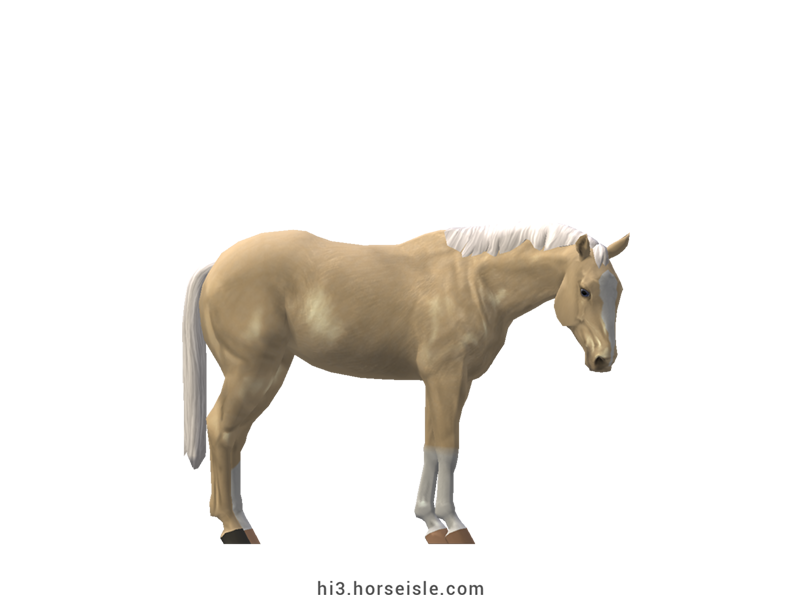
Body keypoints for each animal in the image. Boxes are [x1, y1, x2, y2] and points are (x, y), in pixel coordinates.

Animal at [182, 223, 627, 538]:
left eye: (615, 289)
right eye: (584, 290)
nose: (602, 358)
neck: (474, 281)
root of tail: (216, 268)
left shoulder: (445, 381)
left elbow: (431, 445)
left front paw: (427, 519)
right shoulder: (445, 375)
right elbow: (446, 444)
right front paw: (451, 520)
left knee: (227, 436)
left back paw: (231, 515)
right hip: (250, 374)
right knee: (219, 430)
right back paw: (230, 522)